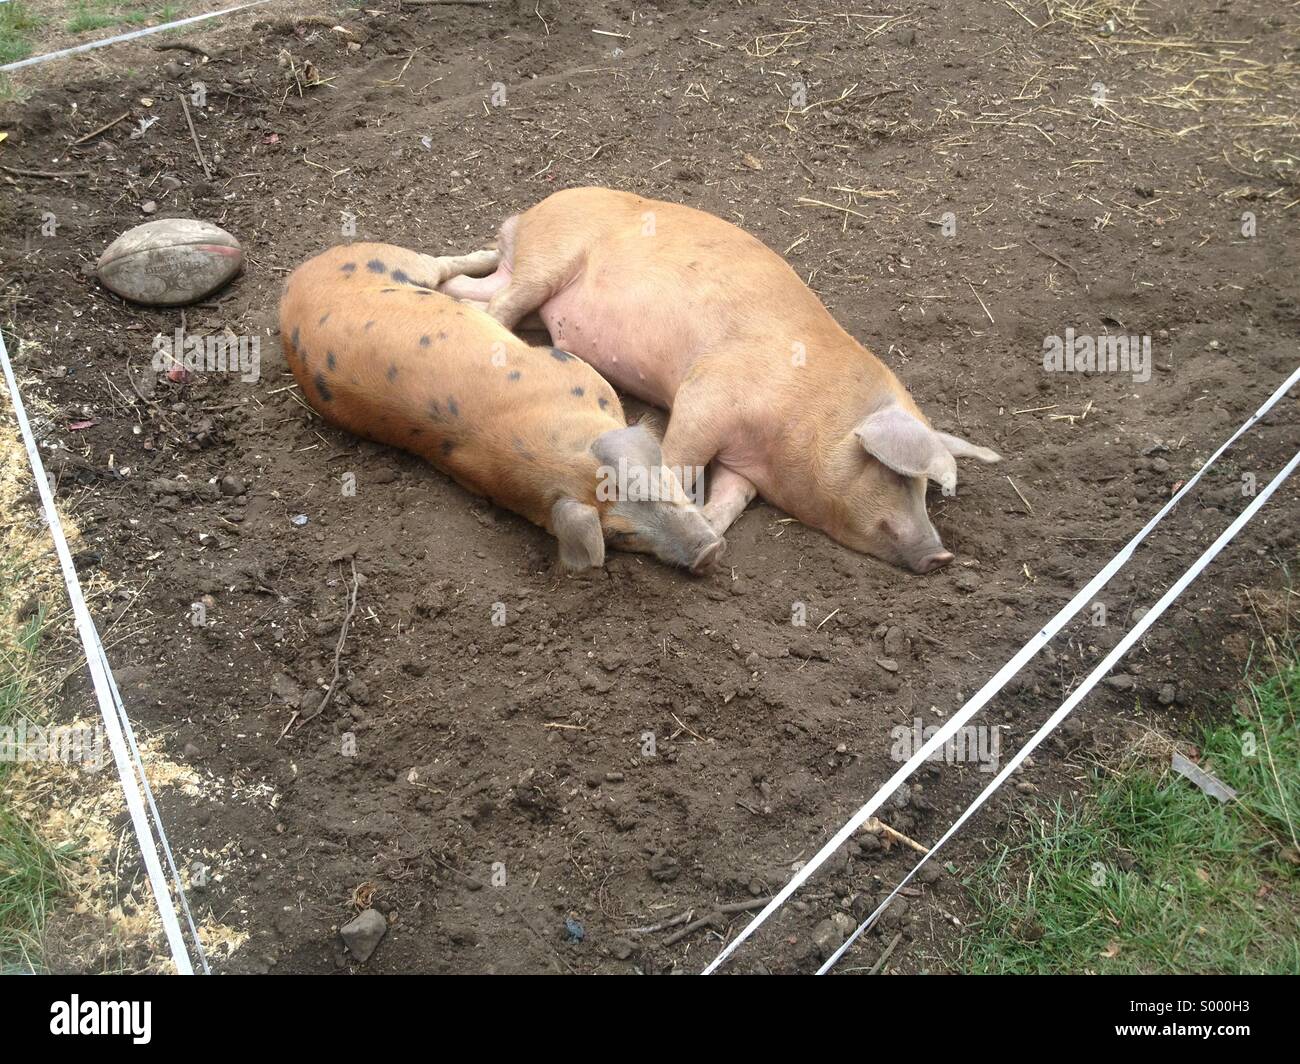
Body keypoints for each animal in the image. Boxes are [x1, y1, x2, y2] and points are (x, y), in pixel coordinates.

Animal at [278, 242, 724, 574]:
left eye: (654, 487)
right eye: (620, 535)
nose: (707, 554)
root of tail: (293, 281)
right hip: (389, 260)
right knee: (441, 263)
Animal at [439, 188, 1002, 573]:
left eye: (925, 488)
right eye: (899, 476)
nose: (942, 555)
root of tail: (527, 215)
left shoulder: (745, 466)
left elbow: (733, 499)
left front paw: (712, 532)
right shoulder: (704, 396)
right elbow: (679, 458)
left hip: (527, 284)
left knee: (467, 290)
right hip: (549, 258)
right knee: (499, 307)